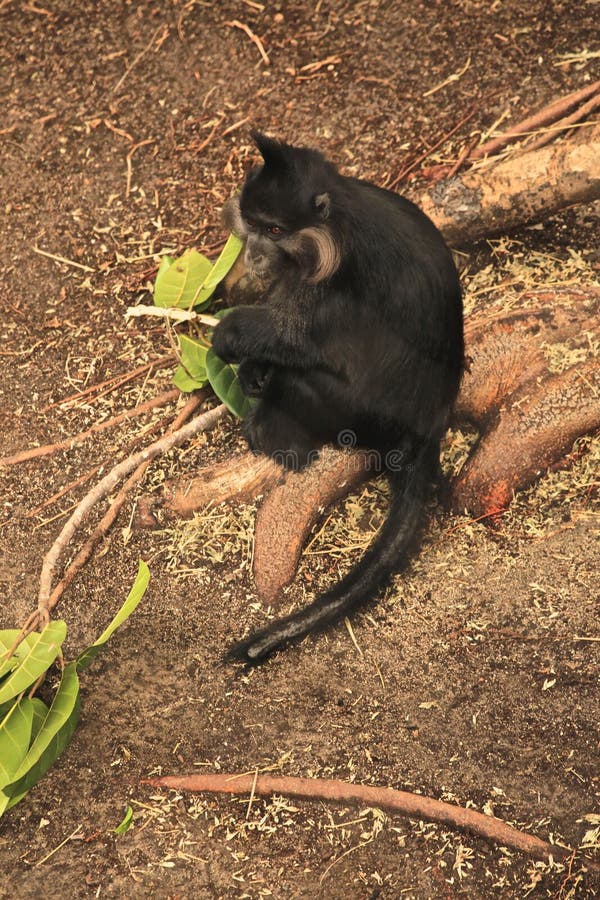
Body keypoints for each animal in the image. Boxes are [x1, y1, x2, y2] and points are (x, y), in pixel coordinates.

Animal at [211, 131, 464, 664]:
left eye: (275, 229)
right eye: (255, 227)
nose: (257, 256)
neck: (338, 220)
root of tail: (426, 430)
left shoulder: (337, 271)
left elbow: (298, 340)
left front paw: (230, 336)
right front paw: (251, 368)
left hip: (360, 415)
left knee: (302, 379)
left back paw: (281, 438)